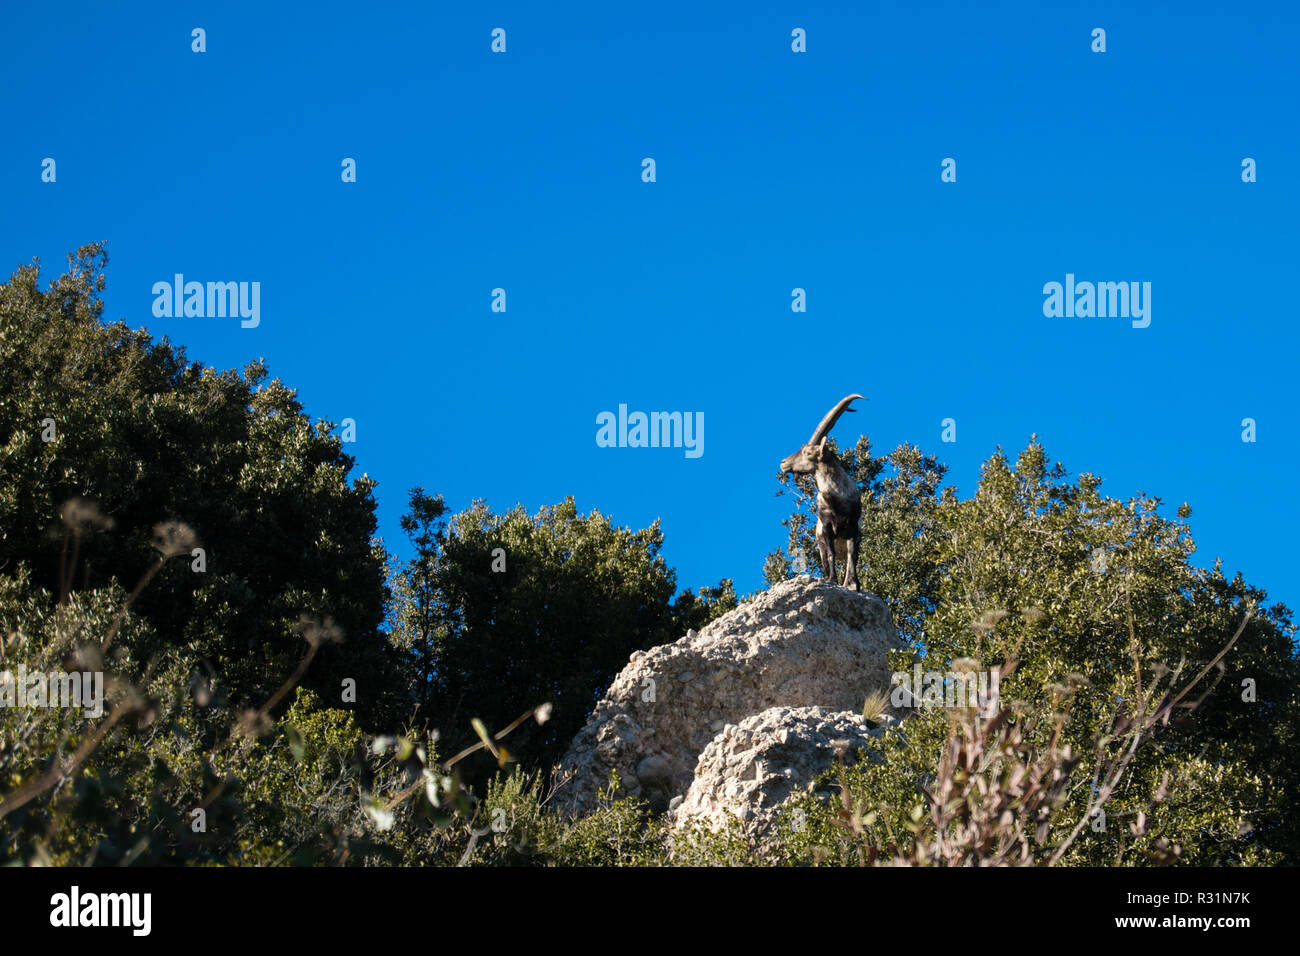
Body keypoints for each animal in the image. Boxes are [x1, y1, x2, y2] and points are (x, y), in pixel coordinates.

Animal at [780, 394, 867, 590]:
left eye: (807, 452)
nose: (783, 463)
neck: (839, 499)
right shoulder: (827, 527)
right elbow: (831, 554)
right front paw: (832, 580)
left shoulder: (853, 529)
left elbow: (852, 557)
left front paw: (855, 584)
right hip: (820, 543)